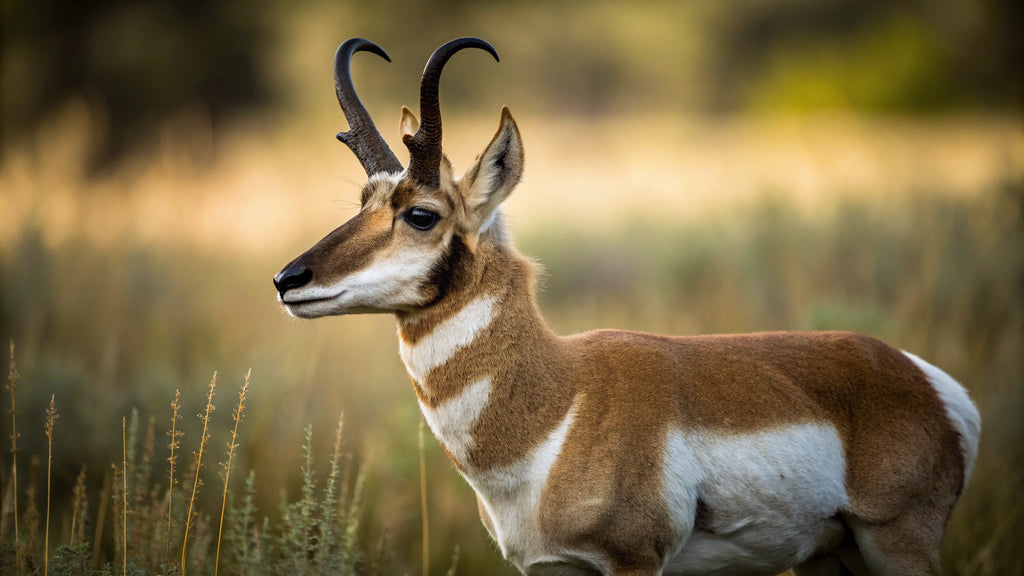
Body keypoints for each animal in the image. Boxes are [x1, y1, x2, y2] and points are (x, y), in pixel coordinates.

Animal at [273, 38, 981, 576]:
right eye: (363, 200)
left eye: (421, 214)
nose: (287, 279)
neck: (560, 400)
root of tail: (924, 378)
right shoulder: (553, 570)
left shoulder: (632, 562)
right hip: (828, 559)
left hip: (896, 546)